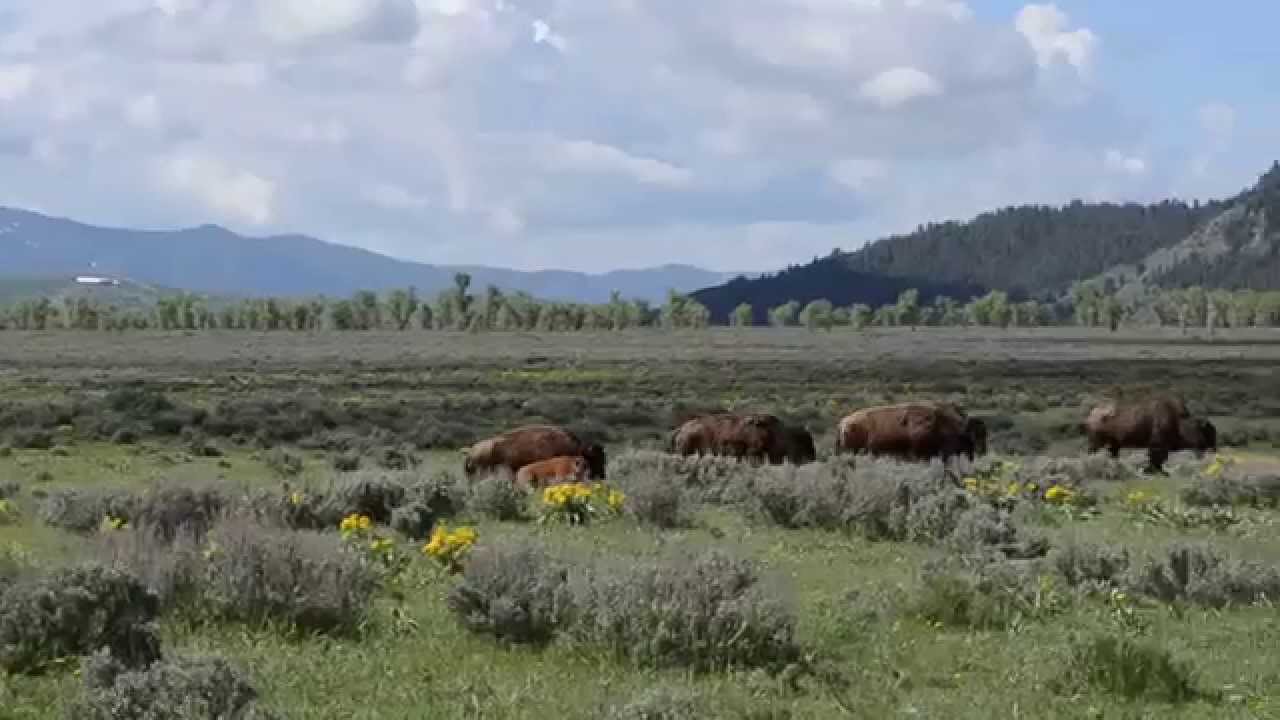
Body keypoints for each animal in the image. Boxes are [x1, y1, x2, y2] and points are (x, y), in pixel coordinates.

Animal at [1084, 395, 1217, 473]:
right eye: (1205, 431)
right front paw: (1154, 471)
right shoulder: (1157, 445)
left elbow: (1160, 459)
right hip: (1097, 441)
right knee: (1092, 452)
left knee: (1113, 453)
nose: (1213, 448)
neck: (1178, 420)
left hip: (1114, 444)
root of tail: (1093, 413)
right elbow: (1156, 458)